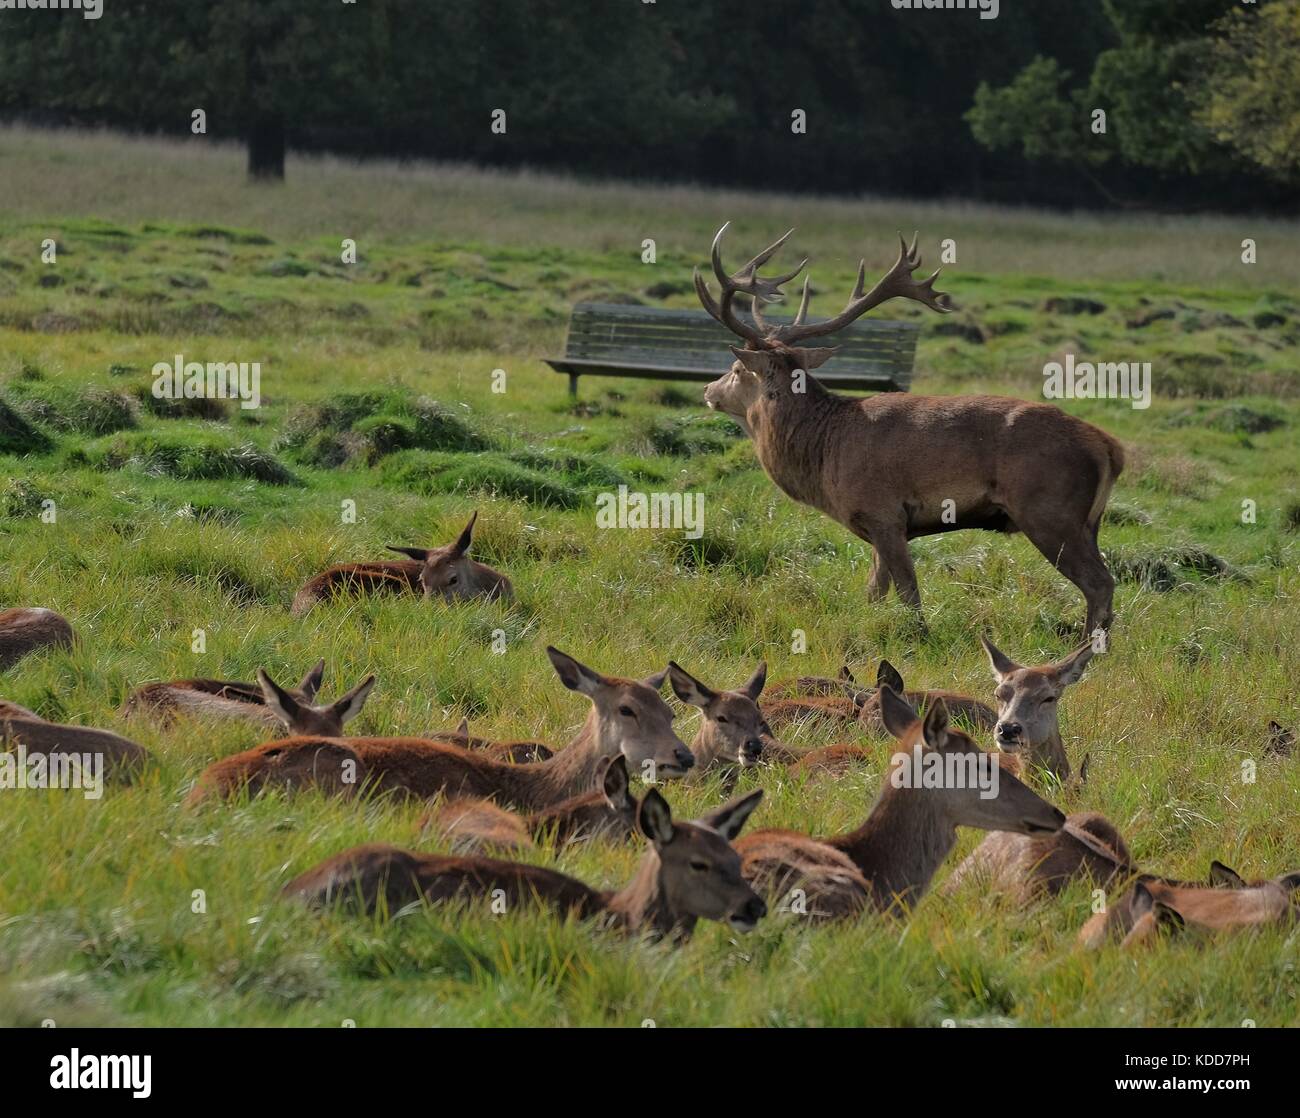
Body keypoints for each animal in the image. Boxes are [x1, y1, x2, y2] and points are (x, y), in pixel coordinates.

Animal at [695, 225, 1125, 635]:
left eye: (736, 370)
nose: (708, 391)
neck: (824, 451)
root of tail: (1109, 447)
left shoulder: (883, 511)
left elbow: (907, 591)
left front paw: (916, 636)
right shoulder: (882, 526)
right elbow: (874, 591)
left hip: (1048, 510)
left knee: (1100, 583)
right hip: (1089, 522)